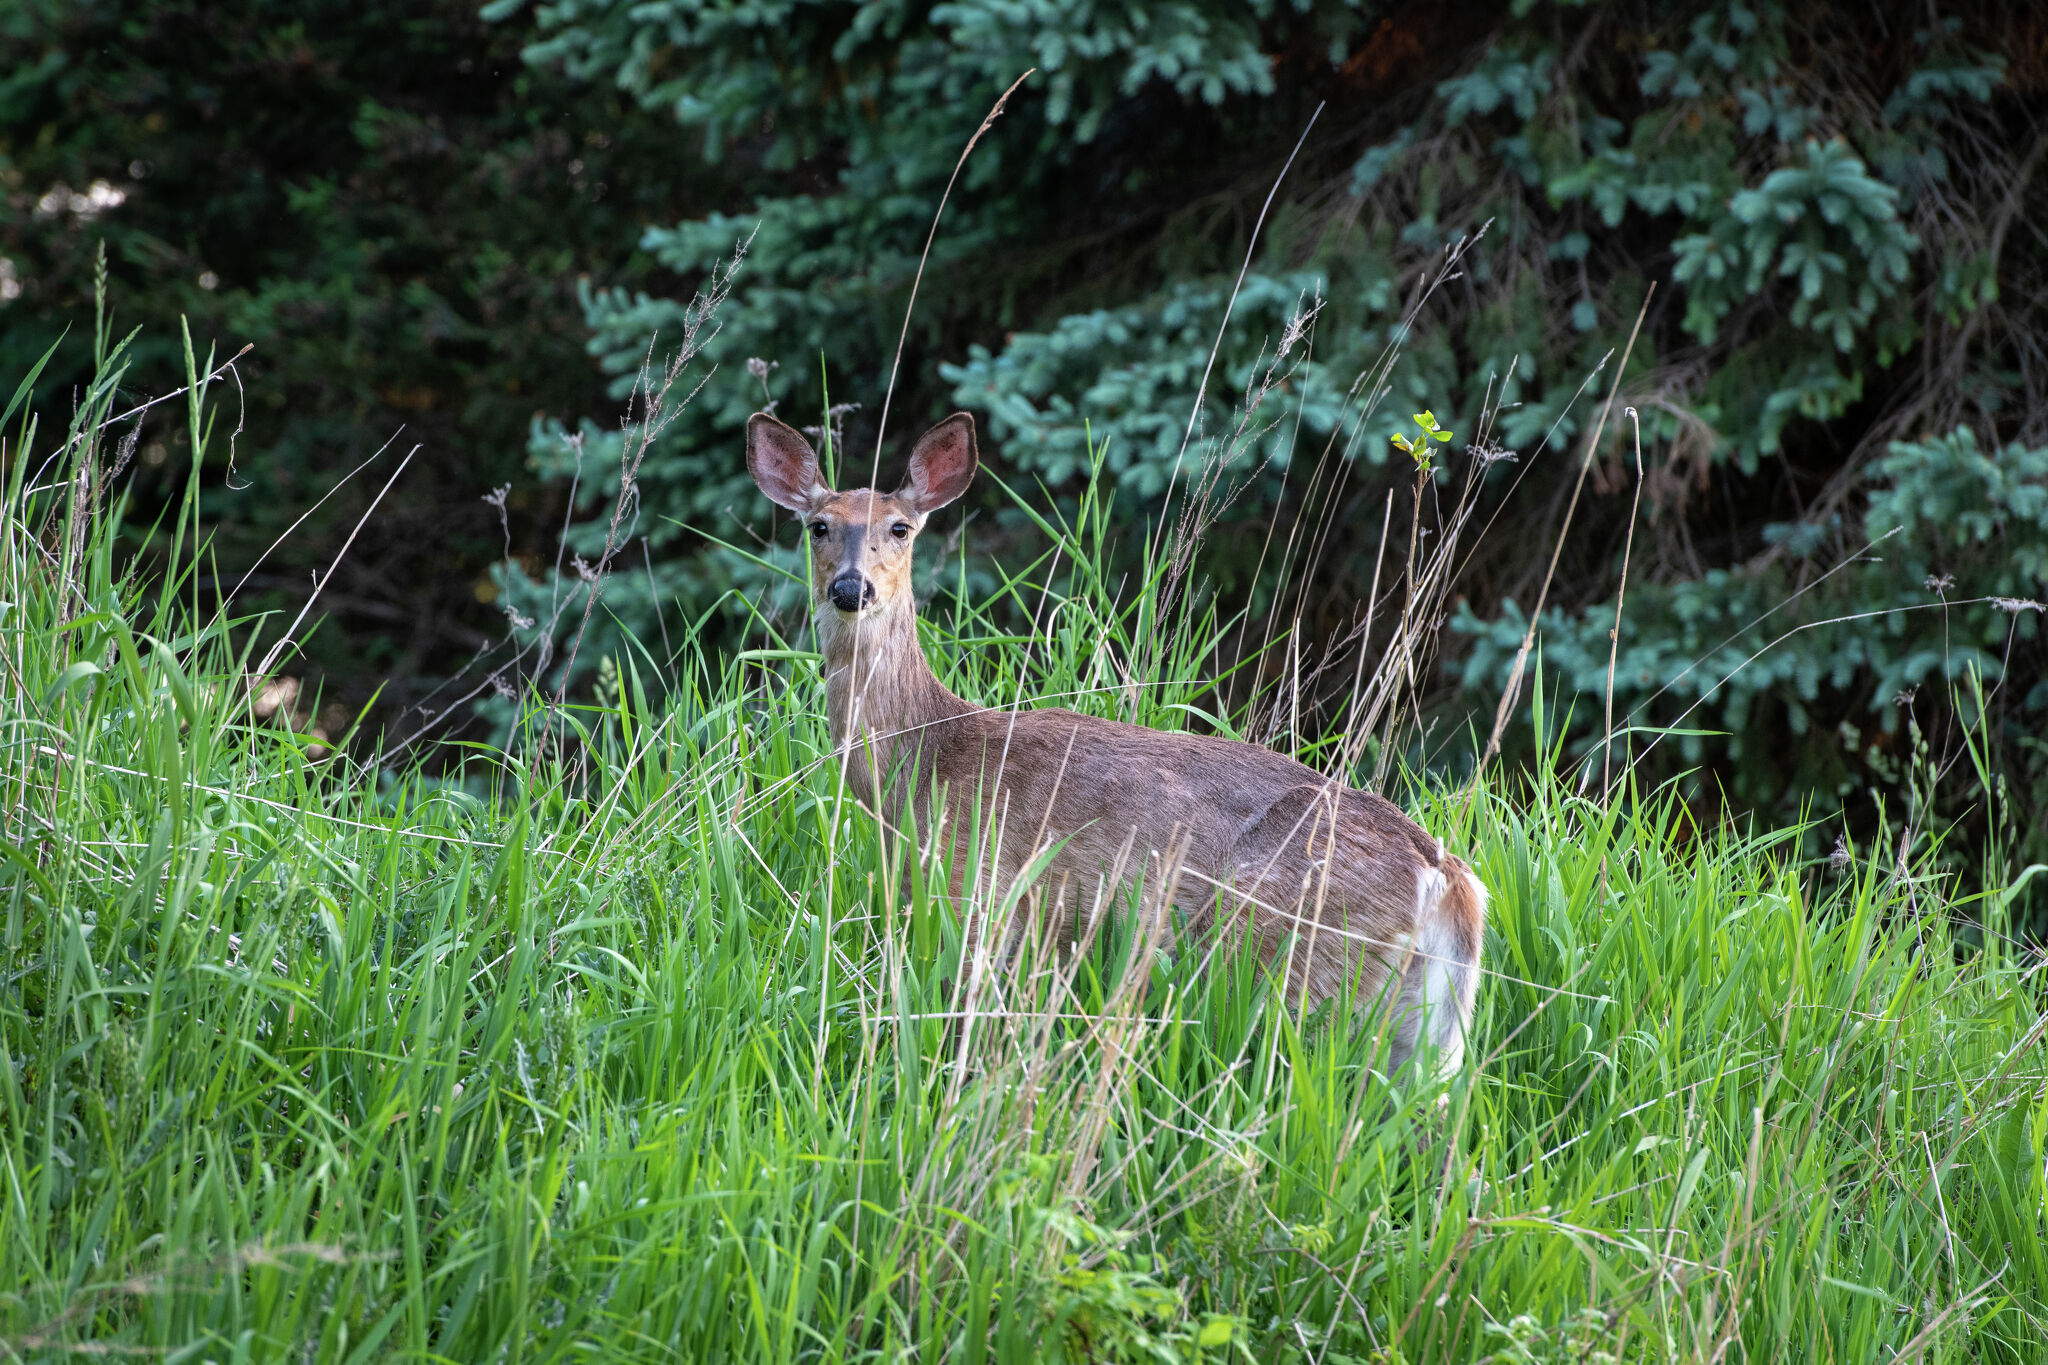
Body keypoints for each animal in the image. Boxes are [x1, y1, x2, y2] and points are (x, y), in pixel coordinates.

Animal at [747, 409, 1487, 1077]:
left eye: (899, 528)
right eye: (818, 526)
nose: (851, 586)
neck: (920, 761)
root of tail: (1446, 879)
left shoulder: (980, 892)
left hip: (1288, 954)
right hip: (1424, 1012)